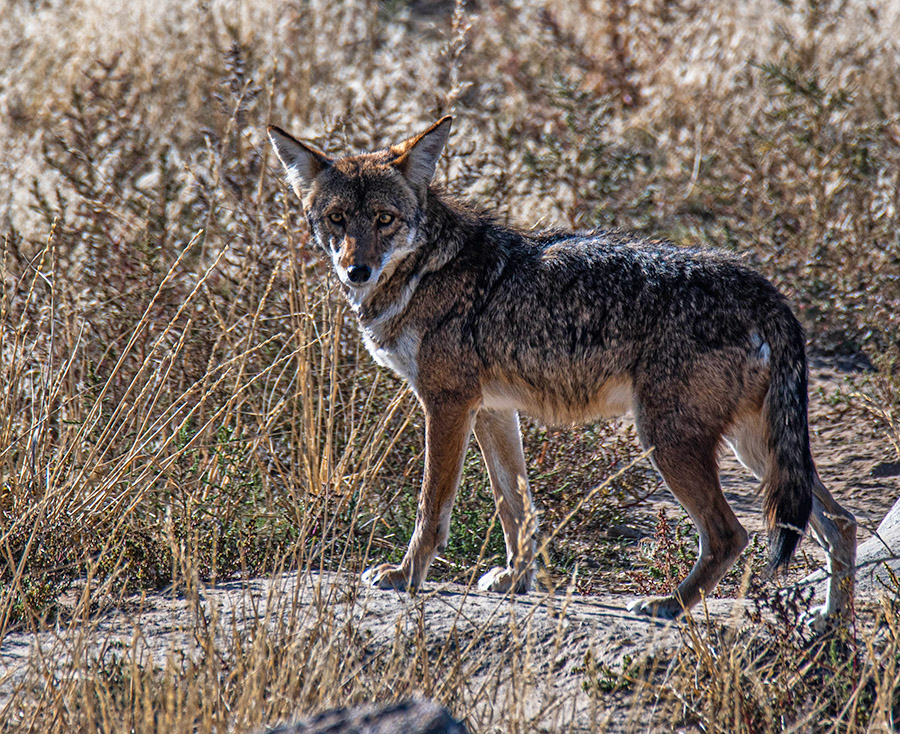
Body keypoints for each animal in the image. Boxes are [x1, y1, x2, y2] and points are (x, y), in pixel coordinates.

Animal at [268, 116, 857, 626]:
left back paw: (669, 605)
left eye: (384, 219)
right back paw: (830, 624)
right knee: (839, 522)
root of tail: (768, 291)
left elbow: (431, 508)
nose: (356, 269)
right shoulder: (491, 412)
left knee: (731, 533)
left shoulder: (446, 405)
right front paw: (516, 580)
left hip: (669, 441)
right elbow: (516, 509)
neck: (424, 270)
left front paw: (405, 577)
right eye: (338, 219)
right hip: (755, 448)